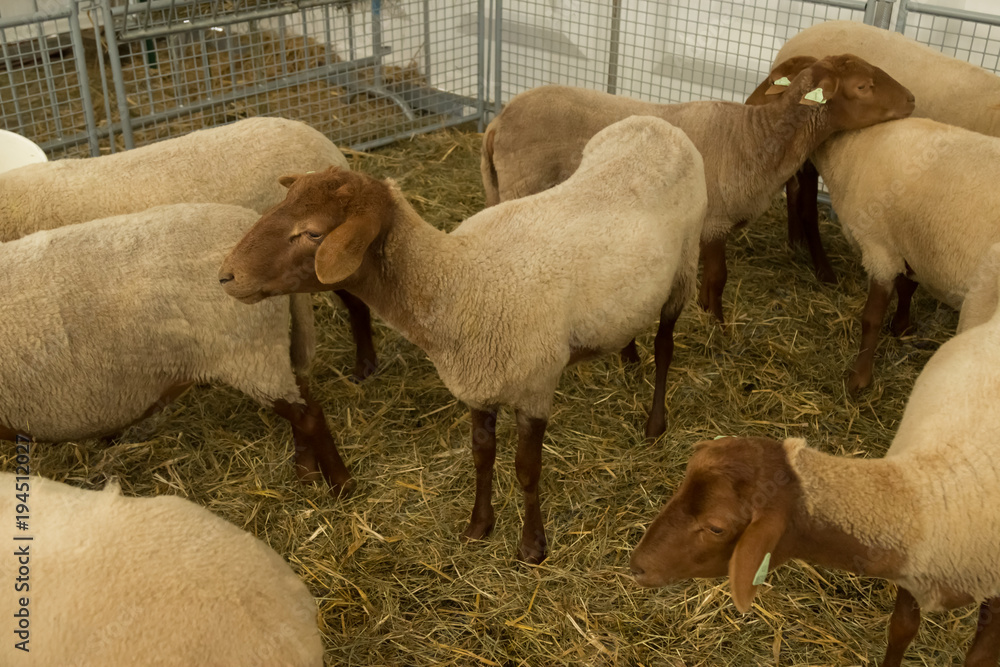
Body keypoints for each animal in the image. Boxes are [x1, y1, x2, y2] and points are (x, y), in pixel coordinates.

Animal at [0, 203, 354, 495]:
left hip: (253, 355)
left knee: (309, 416)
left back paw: (340, 485)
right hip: (266, 352)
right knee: (302, 405)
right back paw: (307, 475)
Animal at [219, 116, 708, 563]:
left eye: (314, 233)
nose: (226, 276)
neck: (459, 282)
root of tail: (654, 120)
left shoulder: (535, 387)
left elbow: (526, 471)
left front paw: (532, 547)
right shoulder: (478, 381)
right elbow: (481, 456)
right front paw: (478, 527)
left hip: (685, 267)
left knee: (666, 346)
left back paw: (655, 424)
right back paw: (628, 356)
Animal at [480, 54, 915, 323]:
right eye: (864, 86)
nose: (912, 99)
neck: (754, 136)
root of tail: (498, 120)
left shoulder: (707, 225)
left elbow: (708, 277)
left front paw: (706, 312)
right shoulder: (715, 220)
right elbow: (719, 276)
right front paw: (718, 324)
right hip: (522, 184)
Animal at [629, 279, 1000, 665]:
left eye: (717, 528)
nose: (636, 566)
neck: (930, 483)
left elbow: (977, 657)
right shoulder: (915, 568)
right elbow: (901, 629)